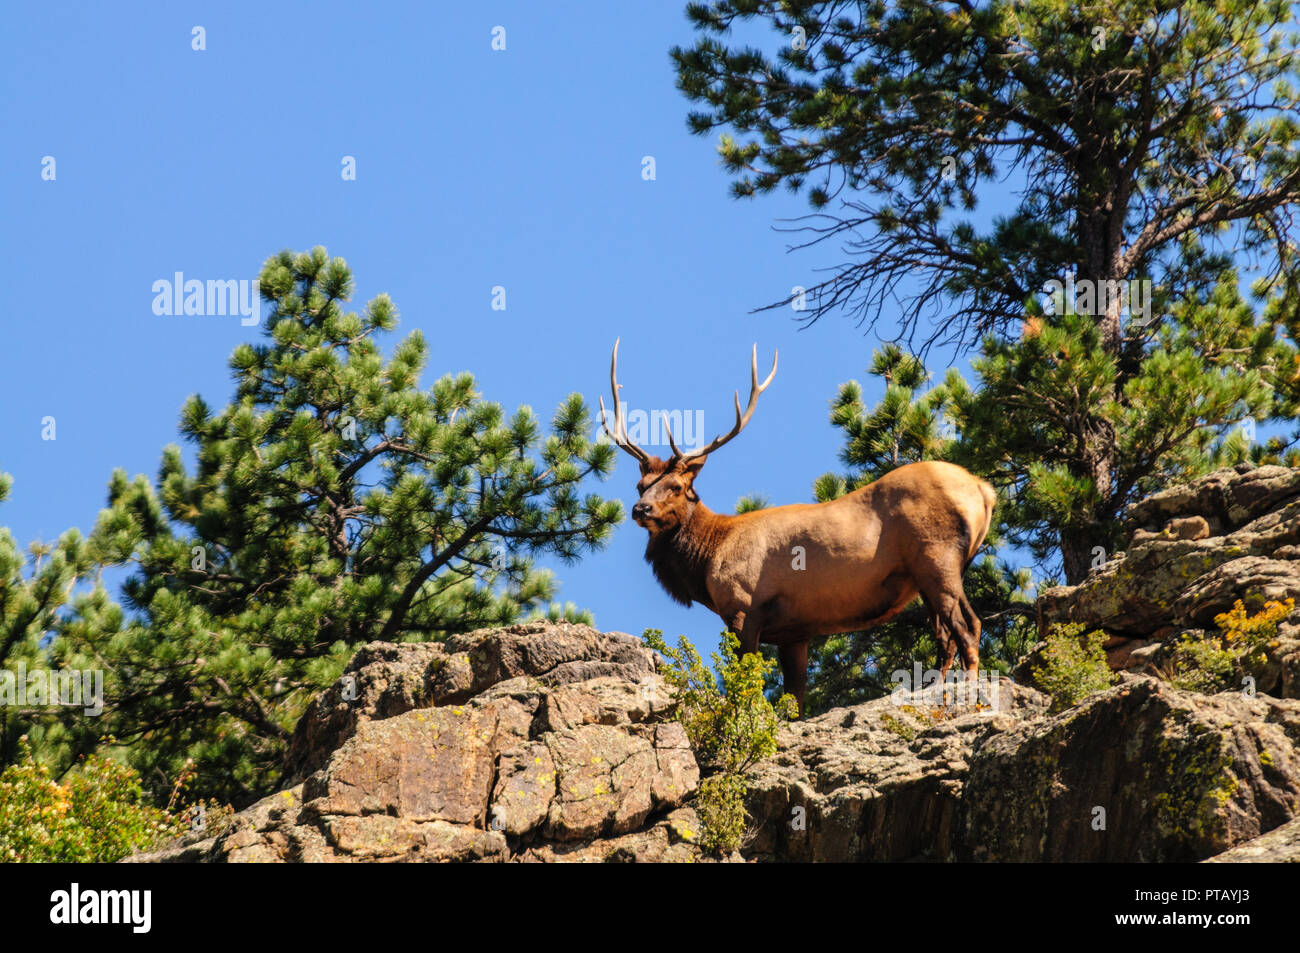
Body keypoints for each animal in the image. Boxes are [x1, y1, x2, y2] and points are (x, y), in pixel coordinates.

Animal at [599, 339, 997, 715]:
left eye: (677, 487)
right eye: (640, 485)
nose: (640, 509)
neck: (709, 556)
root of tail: (984, 490)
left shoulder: (744, 607)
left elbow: (746, 687)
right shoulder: (795, 632)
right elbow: (795, 702)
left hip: (936, 555)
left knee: (967, 627)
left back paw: (969, 697)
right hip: (930, 572)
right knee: (949, 634)